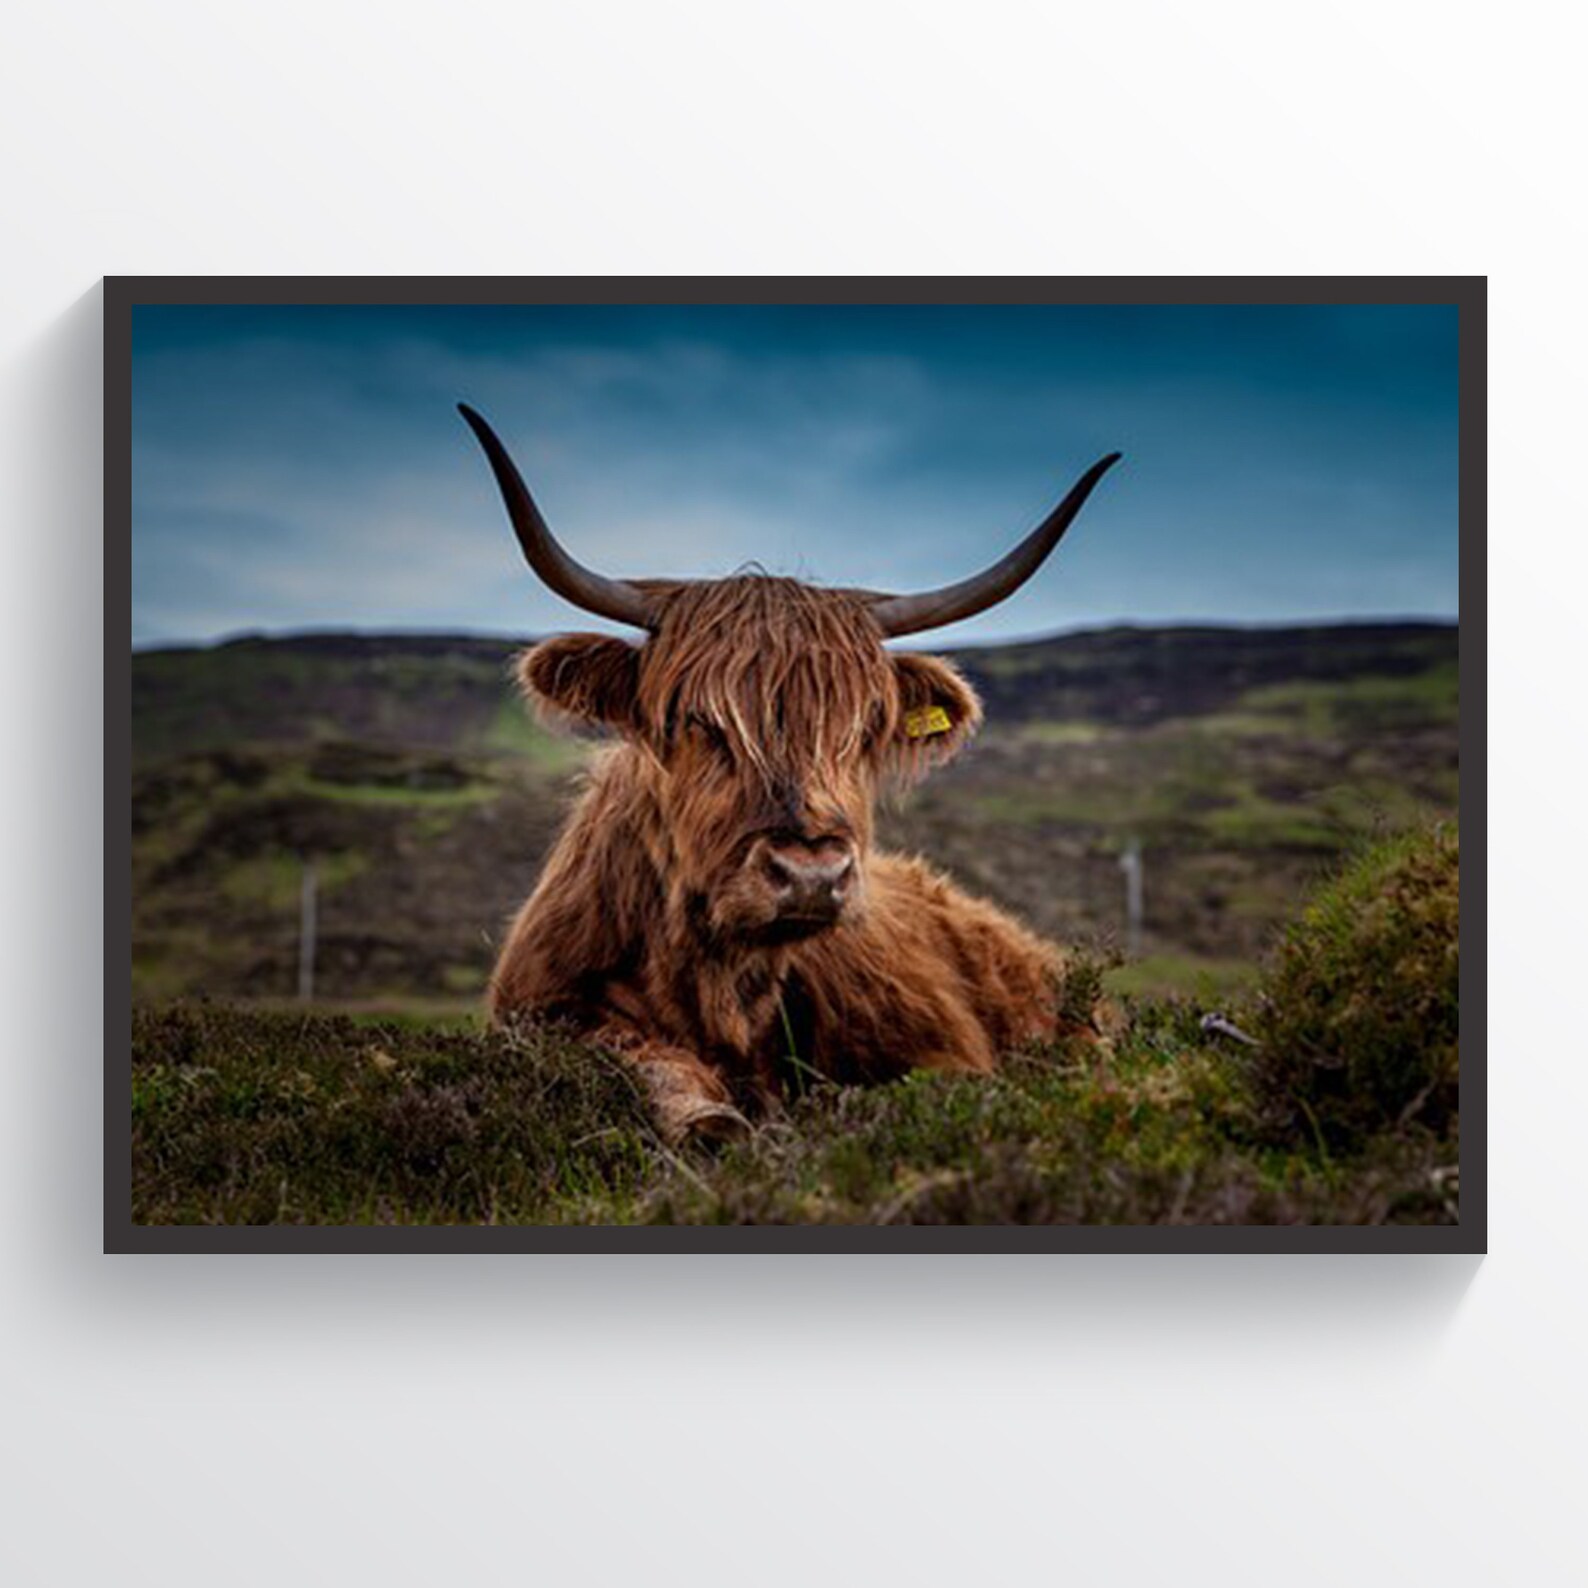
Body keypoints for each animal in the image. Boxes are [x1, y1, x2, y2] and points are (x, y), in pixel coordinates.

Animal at [459, 404, 1121, 1144]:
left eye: (863, 728)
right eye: (697, 720)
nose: (811, 873)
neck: (719, 988)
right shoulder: (546, 1011)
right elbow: (643, 1061)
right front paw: (708, 1117)